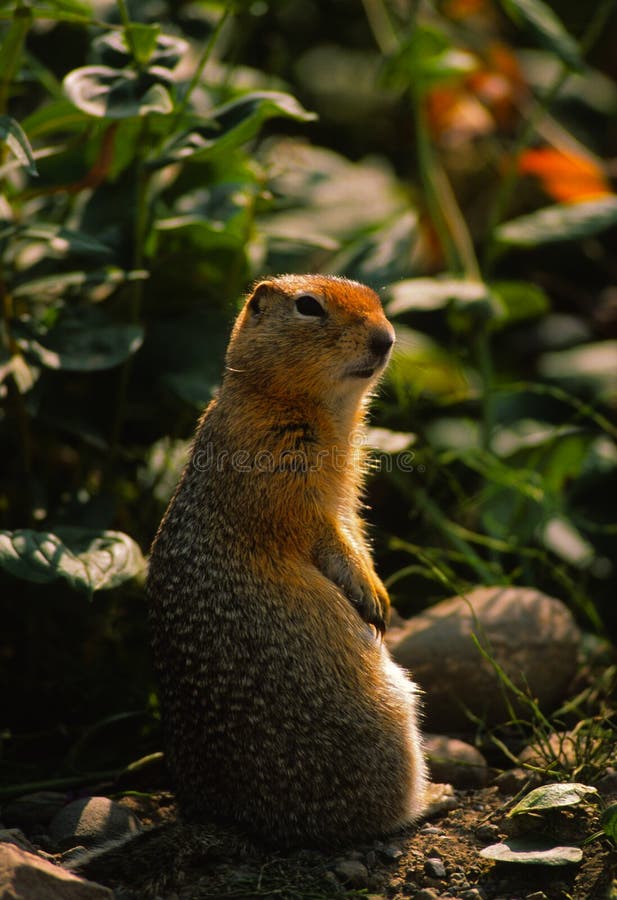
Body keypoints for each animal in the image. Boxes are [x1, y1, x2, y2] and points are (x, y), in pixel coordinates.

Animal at [147, 274, 427, 847]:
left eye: (375, 297)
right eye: (308, 307)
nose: (386, 338)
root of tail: (226, 812)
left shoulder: (345, 499)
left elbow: (354, 534)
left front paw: (380, 592)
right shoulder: (285, 481)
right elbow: (329, 539)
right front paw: (371, 596)